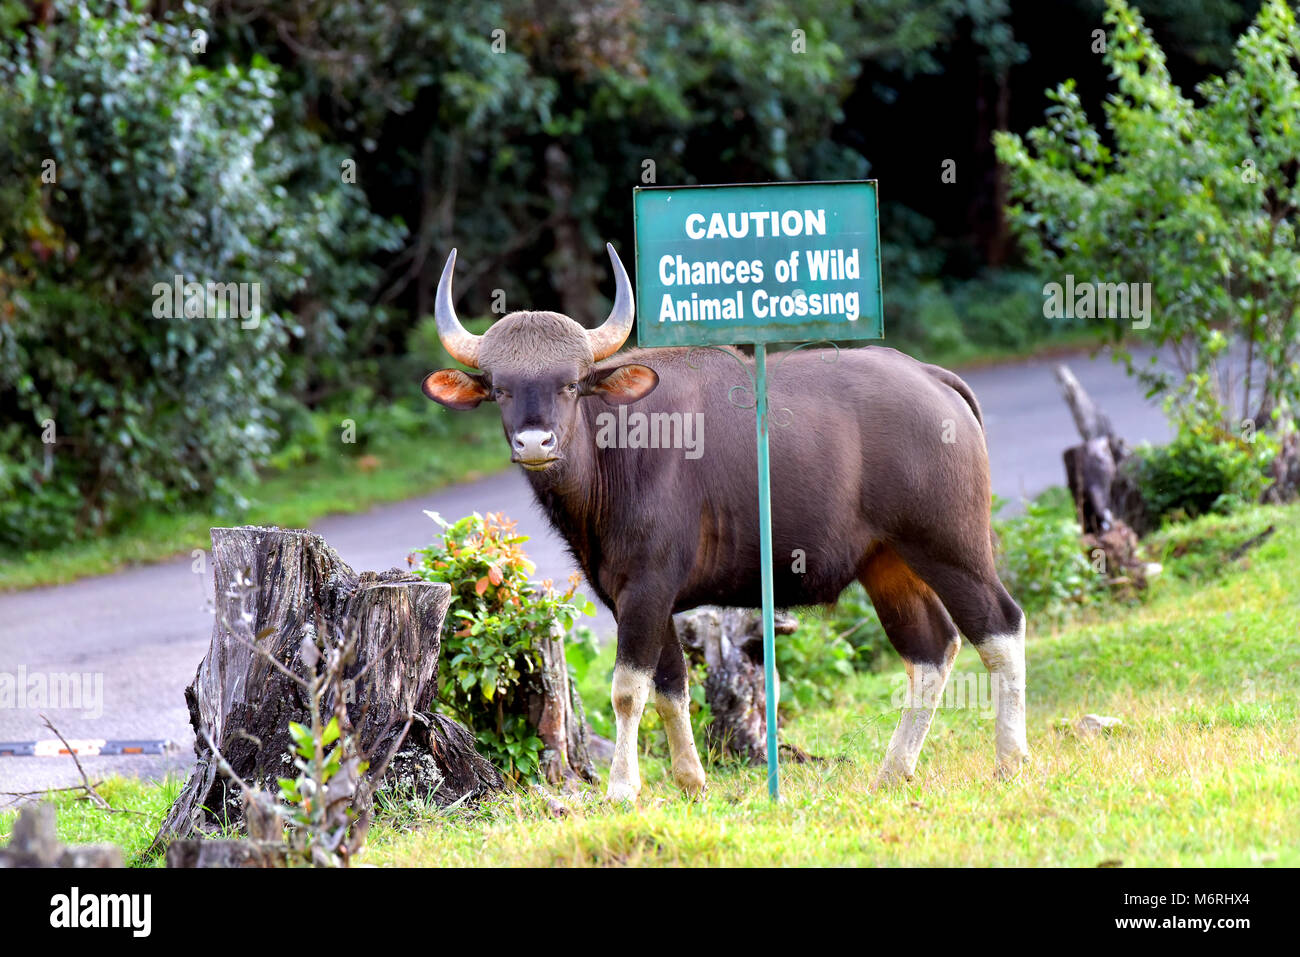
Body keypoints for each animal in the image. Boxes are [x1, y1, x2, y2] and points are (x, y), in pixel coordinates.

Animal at [422, 243, 1027, 801]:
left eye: (570, 384)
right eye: (500, 387)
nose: (534, 443)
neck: (617, 452)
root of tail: (933, 378)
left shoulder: (648, 586)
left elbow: (627, 689)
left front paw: (622, 788)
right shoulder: (633, 594)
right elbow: (670, 685)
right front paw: (691, 782)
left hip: (949, 543)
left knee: (1000, 626)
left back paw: (1010, 761)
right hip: (888, 562)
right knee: (931, 650)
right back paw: (894, 771)